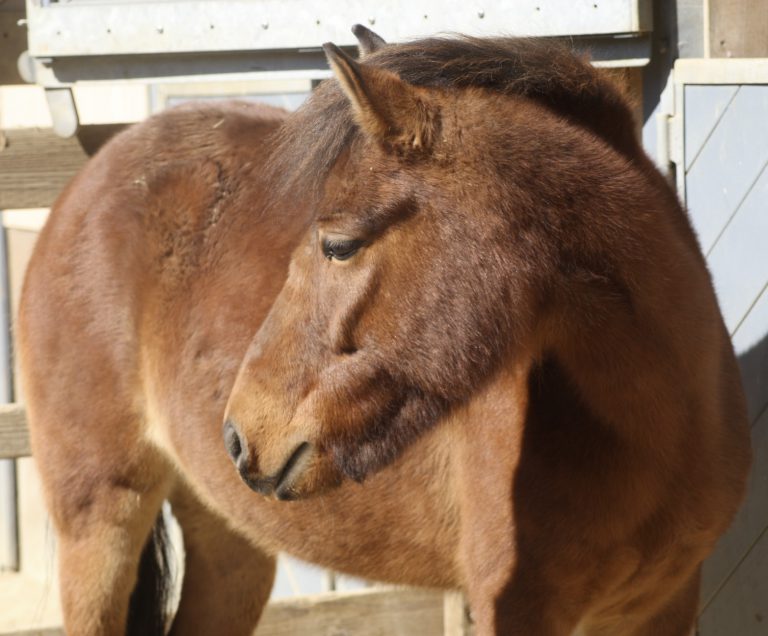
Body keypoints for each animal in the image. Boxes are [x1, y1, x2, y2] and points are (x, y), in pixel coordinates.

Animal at [17, 25, 751, 635]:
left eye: (339, 245)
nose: (237, 435)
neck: (656, 435)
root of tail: (91, 178)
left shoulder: (659, 608)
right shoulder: (513, 607)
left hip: (231, 542)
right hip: (100, 522)